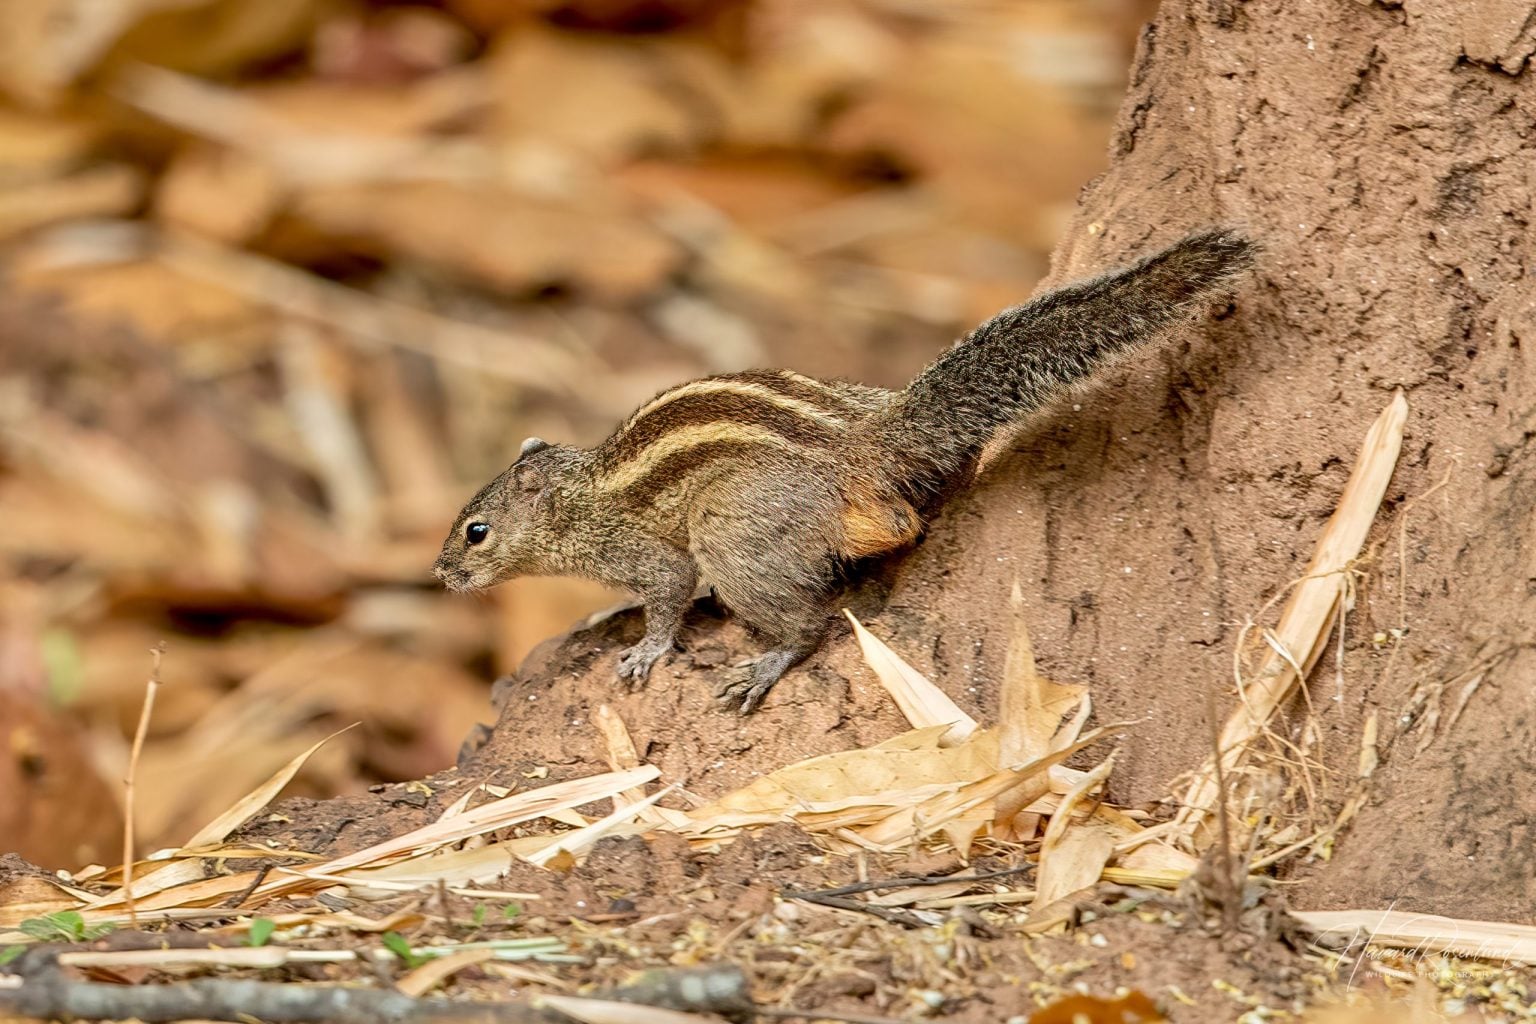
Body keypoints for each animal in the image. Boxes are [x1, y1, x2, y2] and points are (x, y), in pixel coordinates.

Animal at [434, 228, 1257, 714]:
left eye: (476, 531)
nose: (441, 574)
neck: (582, 494)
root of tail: (866, 442)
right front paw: (604, 619)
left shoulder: (644, 551)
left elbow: (669, 593)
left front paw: (644, 650)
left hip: (737, 536)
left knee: (810, 622)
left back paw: (764, 665)